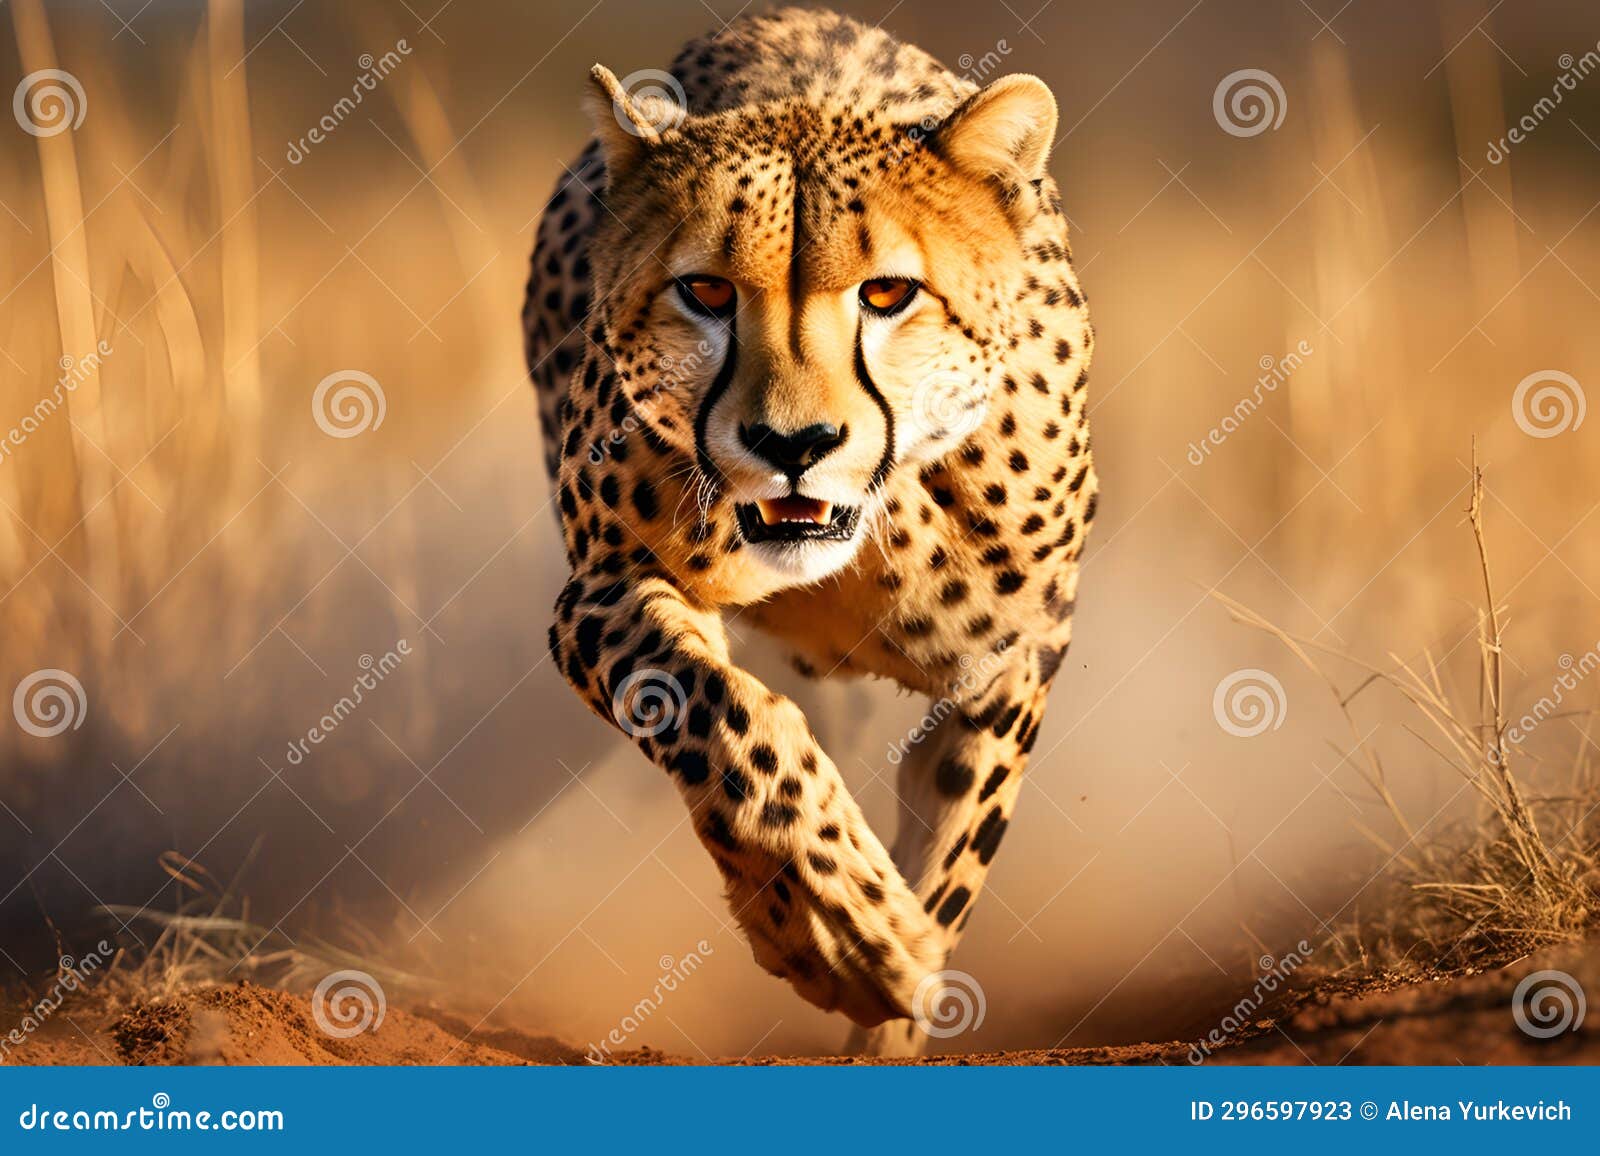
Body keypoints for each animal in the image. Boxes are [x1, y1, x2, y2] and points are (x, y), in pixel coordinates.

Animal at [523, 6, 1097, 1057]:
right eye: (707, 292)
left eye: (888, 293)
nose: (793, 443)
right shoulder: (602, 588)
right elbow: (725, 716)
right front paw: (840, 931)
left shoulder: (1015, 652)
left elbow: (956, 847)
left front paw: (897, 1006)